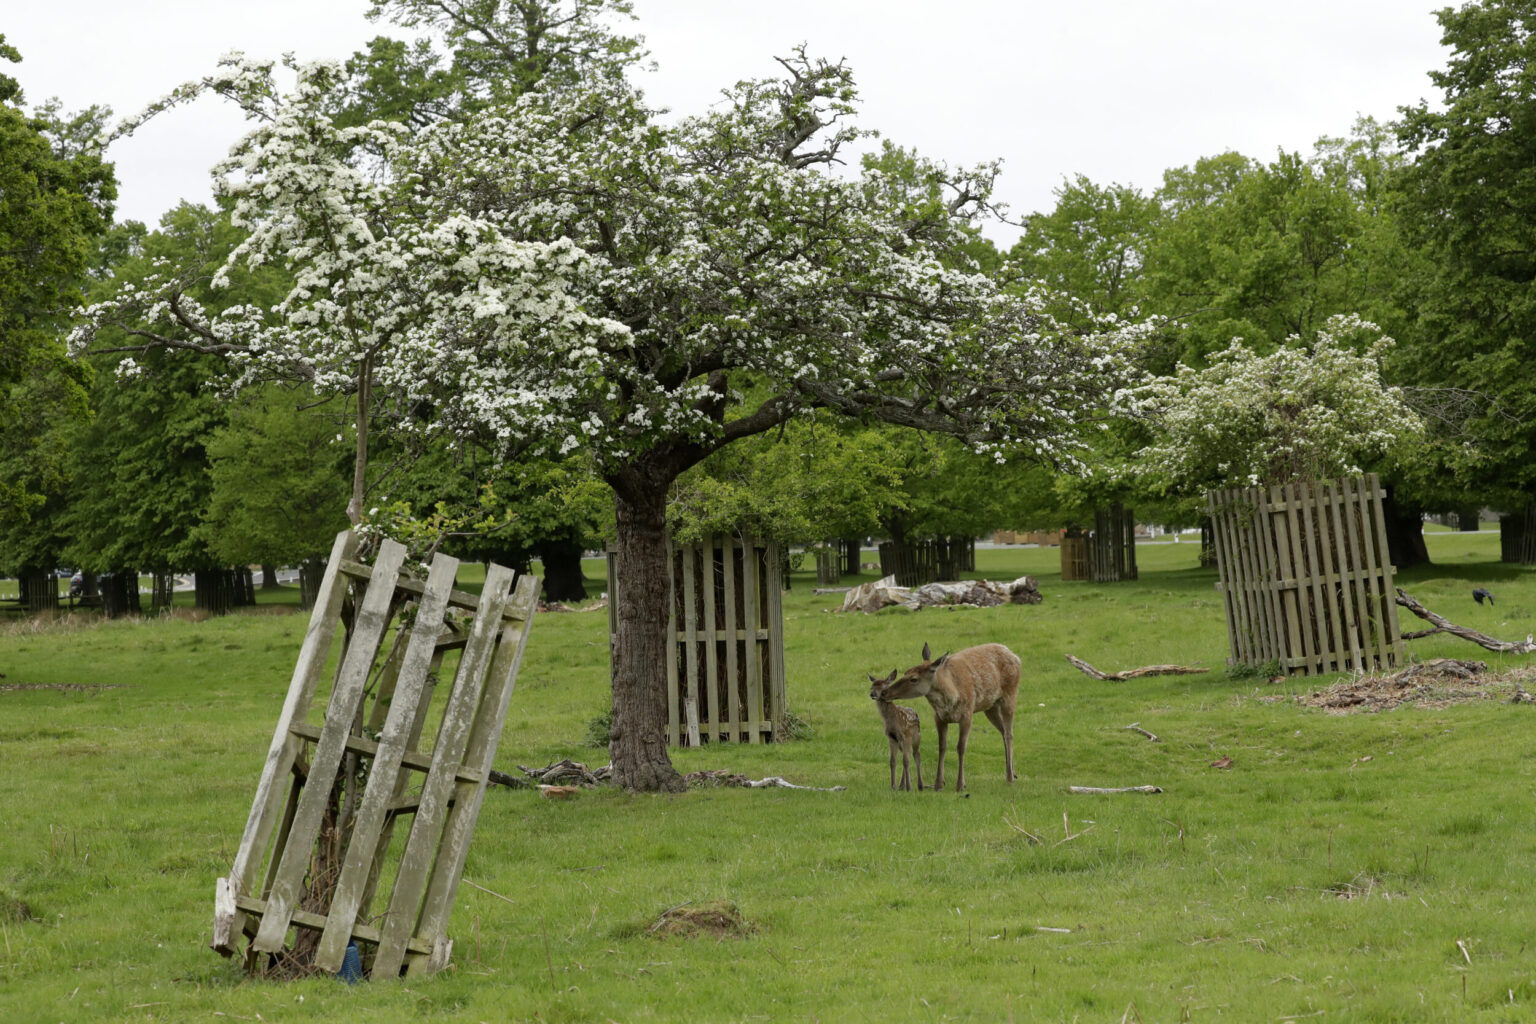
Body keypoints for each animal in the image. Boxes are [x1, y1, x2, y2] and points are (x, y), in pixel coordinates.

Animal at [879, 642, 1019, 792]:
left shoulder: (967, 715)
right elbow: (942, 746)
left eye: (914, 679)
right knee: (1003, 731)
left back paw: (1010, 778)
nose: (885, 692)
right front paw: (939, 784)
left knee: (1009, 734)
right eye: (905, 672)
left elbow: (961, 747)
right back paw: (1013, 772)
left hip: (1010, 695)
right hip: (990, 706)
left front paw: (960, 785)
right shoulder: (939, 717)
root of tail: (1014, 656)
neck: (951, 696)